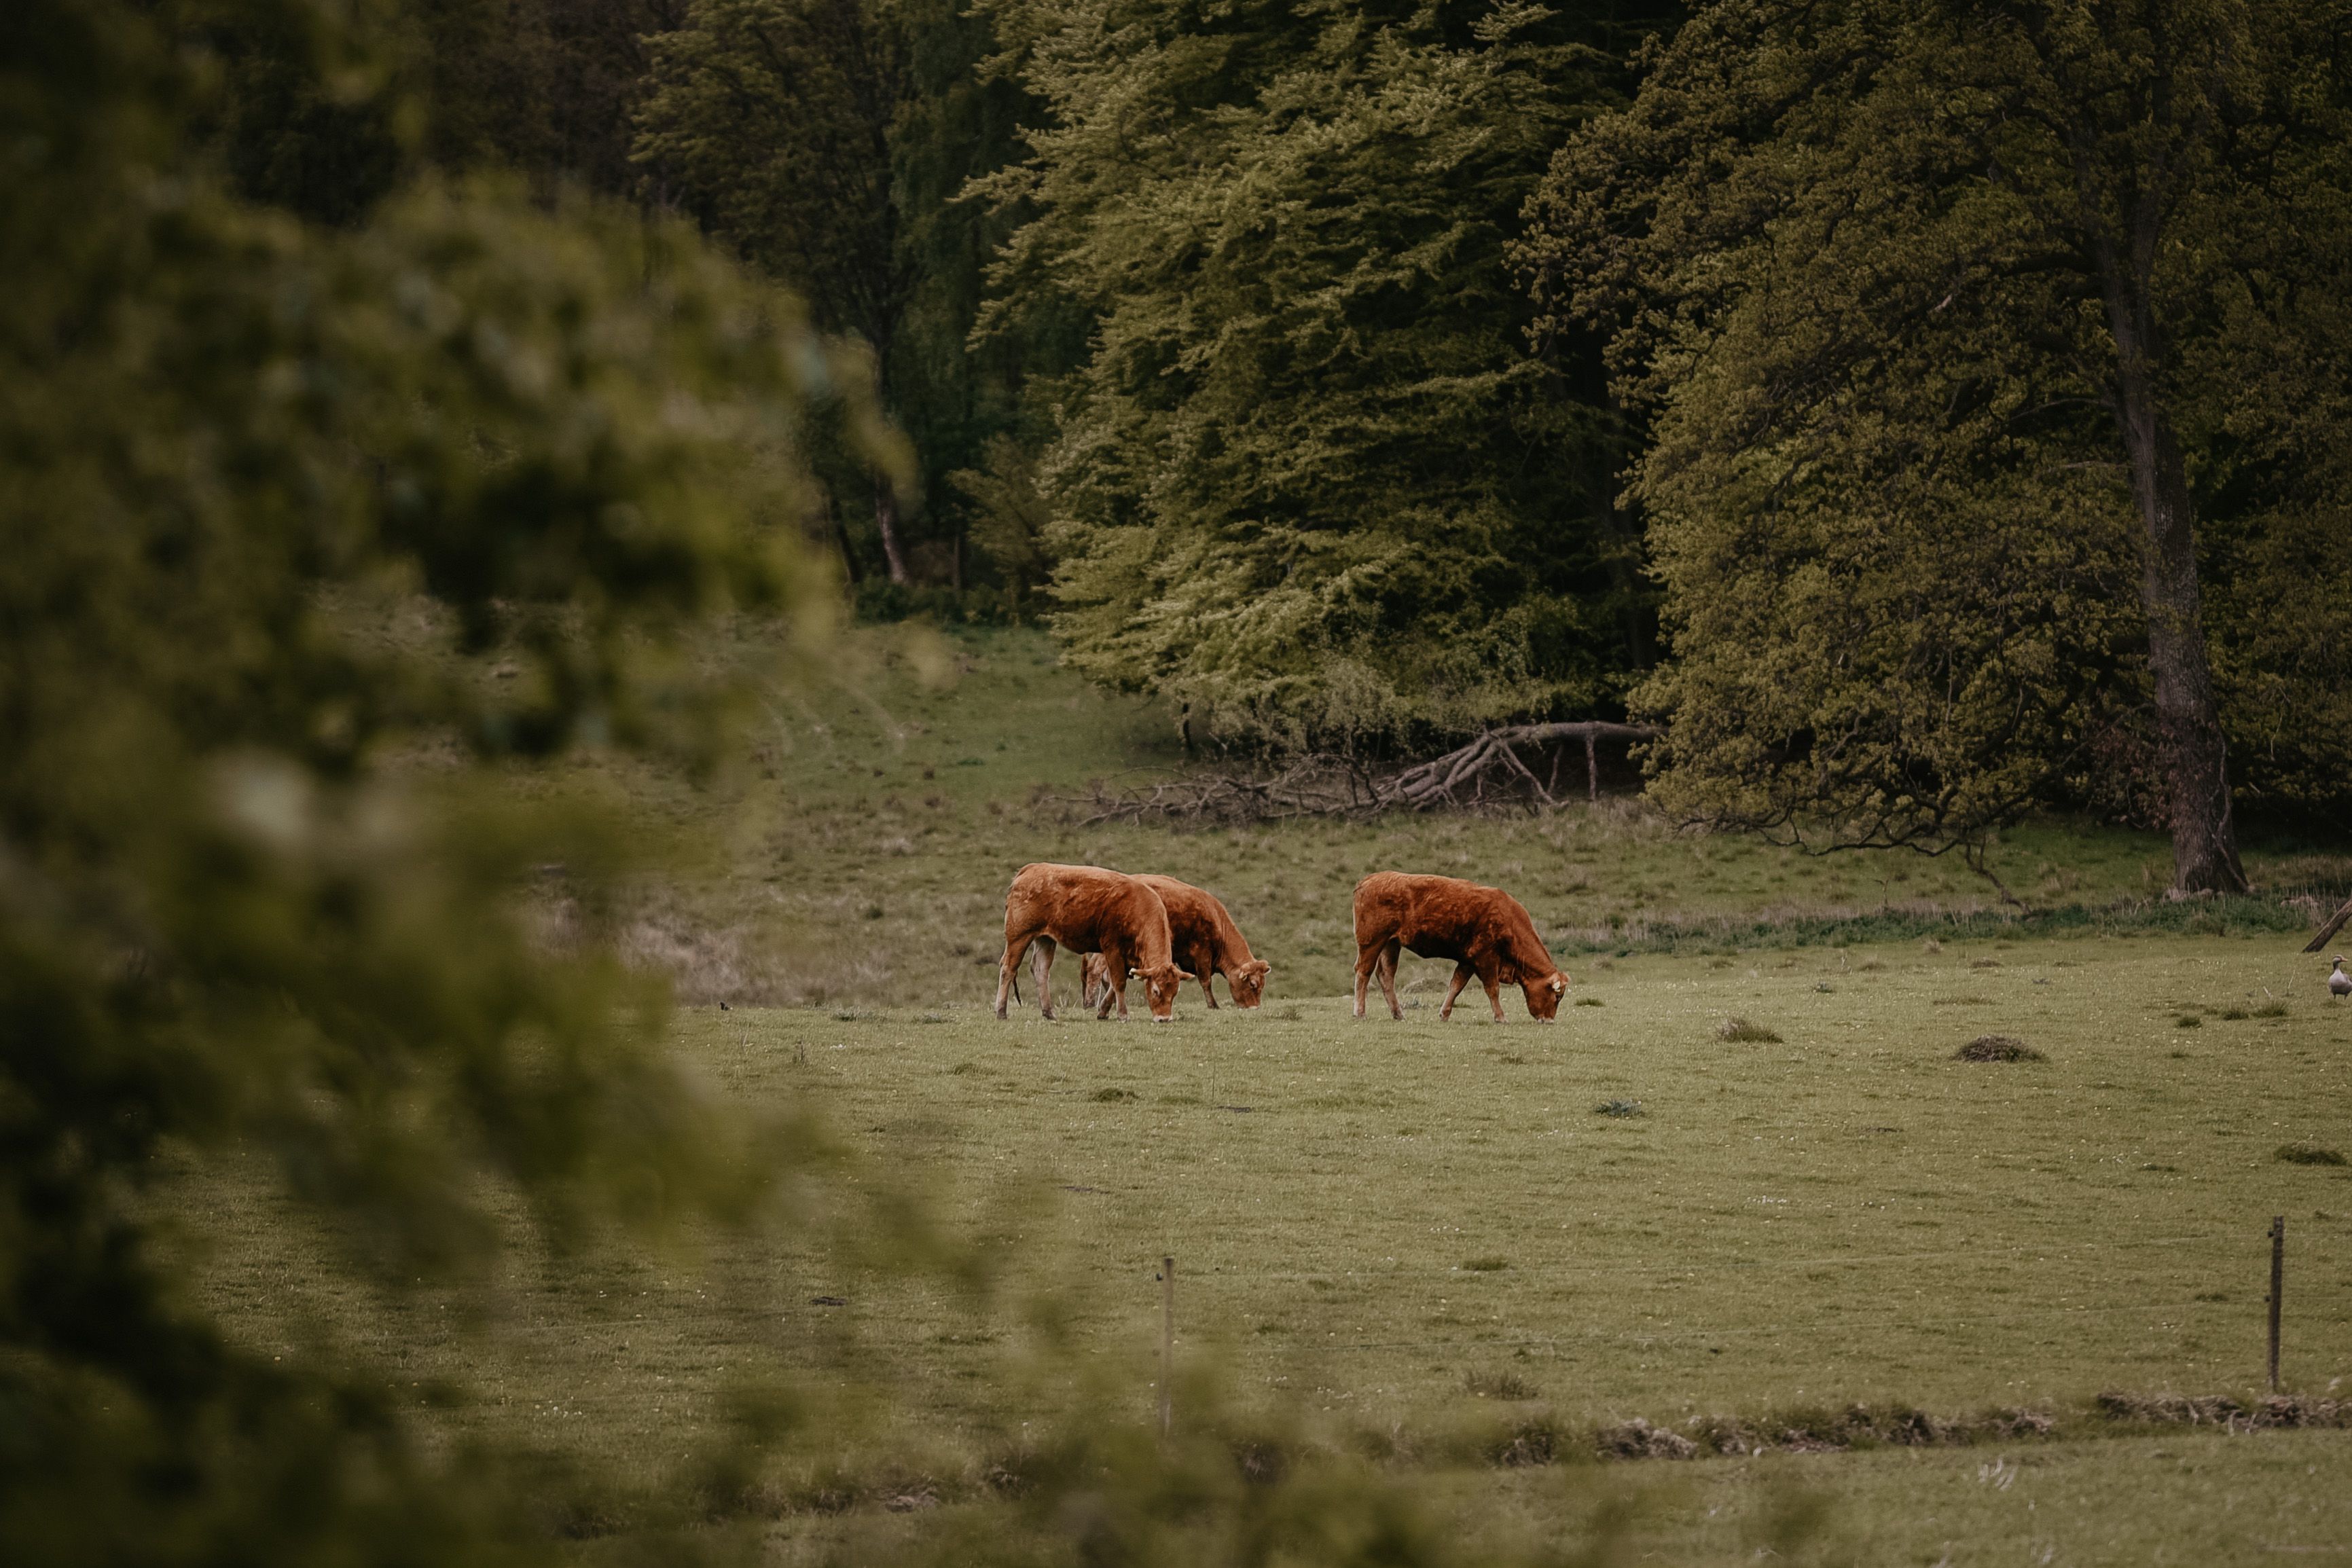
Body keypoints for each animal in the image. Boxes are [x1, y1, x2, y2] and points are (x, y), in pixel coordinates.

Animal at [994, 862, 1193, 1022]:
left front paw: (1104, 1011)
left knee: (1040, 970)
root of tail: (1031, 868)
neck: (1138, 907)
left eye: (1175, 992)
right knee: (1009, 968)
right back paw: (1001, 1011)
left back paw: (1049, 1013)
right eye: (1156, 991)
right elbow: (1119, 982)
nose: (1164, 1018)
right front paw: (1123, 1015)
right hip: (1019, 937)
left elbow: (1114, 984)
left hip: (1046, 939)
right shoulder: (1112, 949)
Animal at [1078, 874, 1271, 1012]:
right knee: (1098, 971)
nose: (1255, 1008)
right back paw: (1091, 1003)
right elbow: (1206, 981)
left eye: (1262, 985)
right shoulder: (1202, 952)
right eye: (1253, 984)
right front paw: (1213, 1005)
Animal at [1351, 871, 1569, 1023]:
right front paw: (1500, 1017)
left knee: (1386, 975)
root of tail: (1369, 879)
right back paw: (1360, 1013)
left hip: (1391, 944)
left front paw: (1444, 1014)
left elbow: (1456, 985)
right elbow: (1492, 989)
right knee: (1364, 972)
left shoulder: (1468, 960)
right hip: (1372, 942)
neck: (1509, 920)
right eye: (1557, 996)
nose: (1549, 1020)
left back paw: (1398, 1014)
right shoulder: (1486, 959)